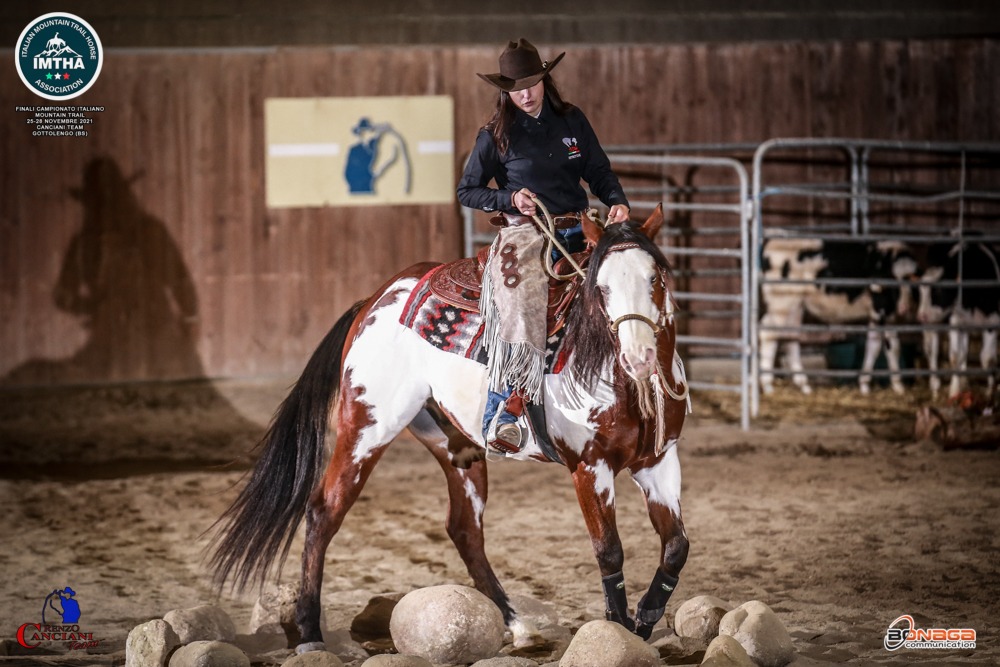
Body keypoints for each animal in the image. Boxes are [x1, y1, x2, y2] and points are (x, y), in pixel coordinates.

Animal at [208, 205, 690, 652]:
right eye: (602, 288)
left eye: (656, 279)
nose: (639, 357)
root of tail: (374, 300)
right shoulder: (589, 467)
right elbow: (609, 549)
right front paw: (619, 627)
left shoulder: (658, 462)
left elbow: (676, 547)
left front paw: (645, 619)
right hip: (366, 425)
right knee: (325, 509)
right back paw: (309, 633)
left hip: (456, 446)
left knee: (464, 529)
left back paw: (518, 626)